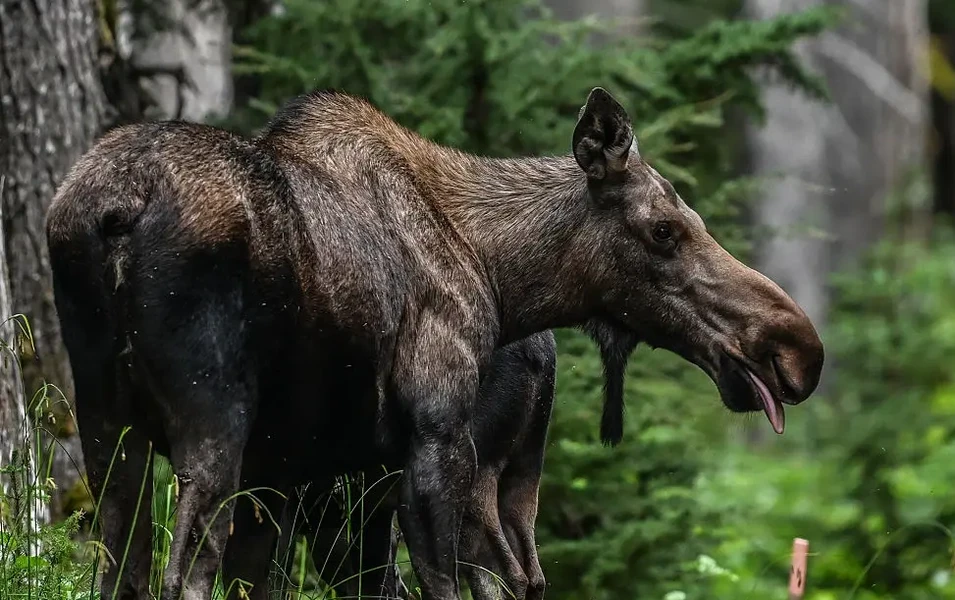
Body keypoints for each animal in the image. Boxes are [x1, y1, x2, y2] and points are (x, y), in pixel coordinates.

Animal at [46, 86, 823, 600]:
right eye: (665, 228)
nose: (795, 349)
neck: (499, 276)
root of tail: (111, 211)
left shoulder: (300, 469)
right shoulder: (431, 440)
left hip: (106, 423)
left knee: (119, 572)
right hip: (214, 420)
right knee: (181, 575)